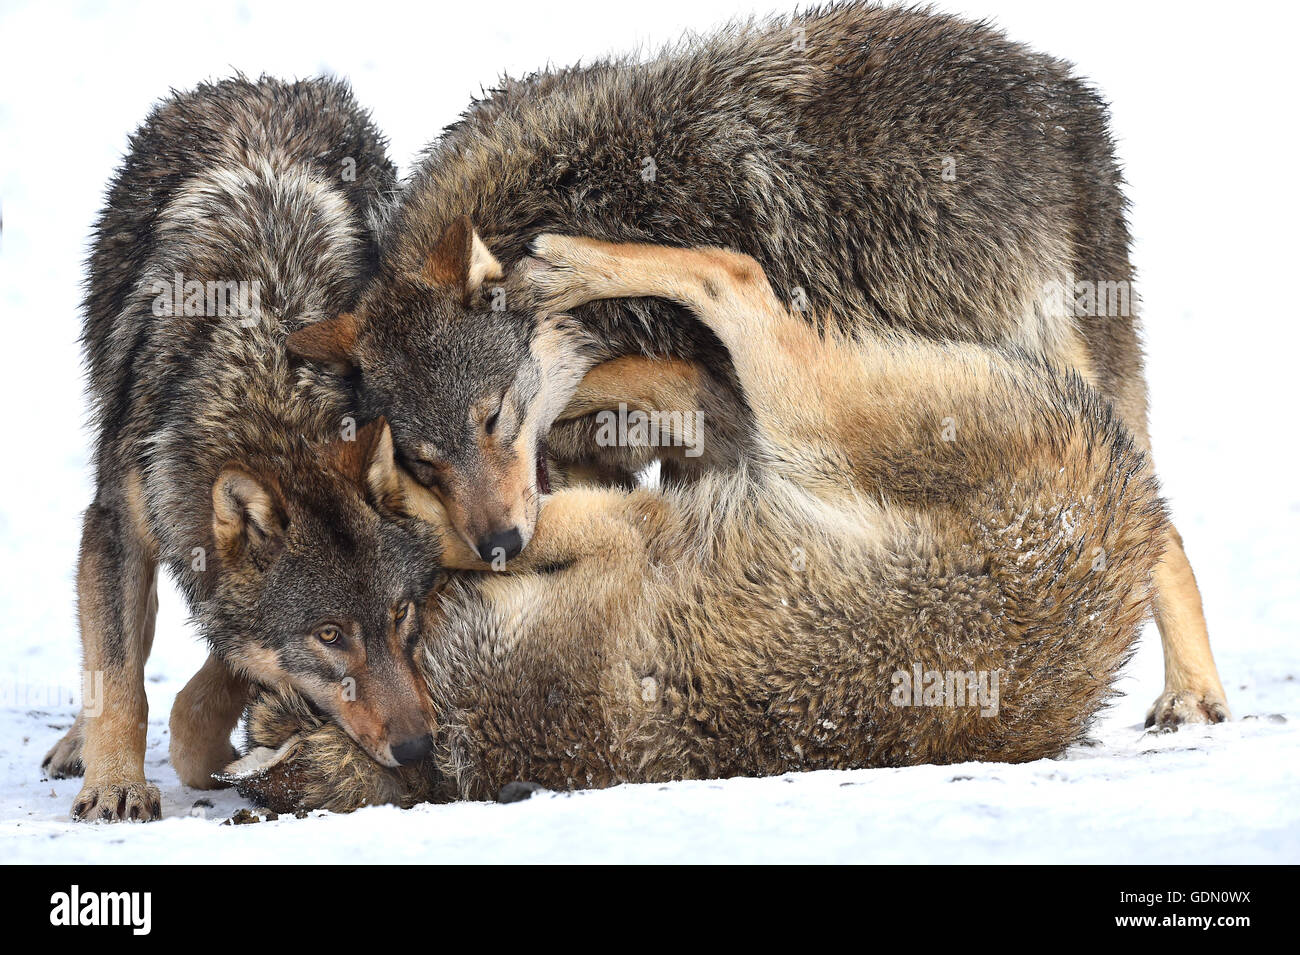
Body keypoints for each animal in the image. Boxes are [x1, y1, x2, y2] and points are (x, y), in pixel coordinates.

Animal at [42, 76, 442, 822]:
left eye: (401, 615)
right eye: (330, 635)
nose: (419, 748)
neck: (268, 392)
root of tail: (265, 84)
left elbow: (218, 682)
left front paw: (214, 747)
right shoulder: (121, 520)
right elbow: (119, 674)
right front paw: (115, 784)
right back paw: (79, 746)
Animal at [229, 234, 1167, 813]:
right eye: (332, 643)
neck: (469, 703)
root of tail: (1131, 499)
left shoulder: (618, 528)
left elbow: (477, 525)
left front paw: (393, 487)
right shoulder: (622, 523)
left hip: (799, 413)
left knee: (731, 275)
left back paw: (568, 269)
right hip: (786, 425)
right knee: (721, 310)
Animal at [284, 4, 1226, 727]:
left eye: (492, 419)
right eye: (422, 459)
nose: (501, 545)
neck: (569, 191)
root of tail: (1067, 99)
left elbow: (656, 385)